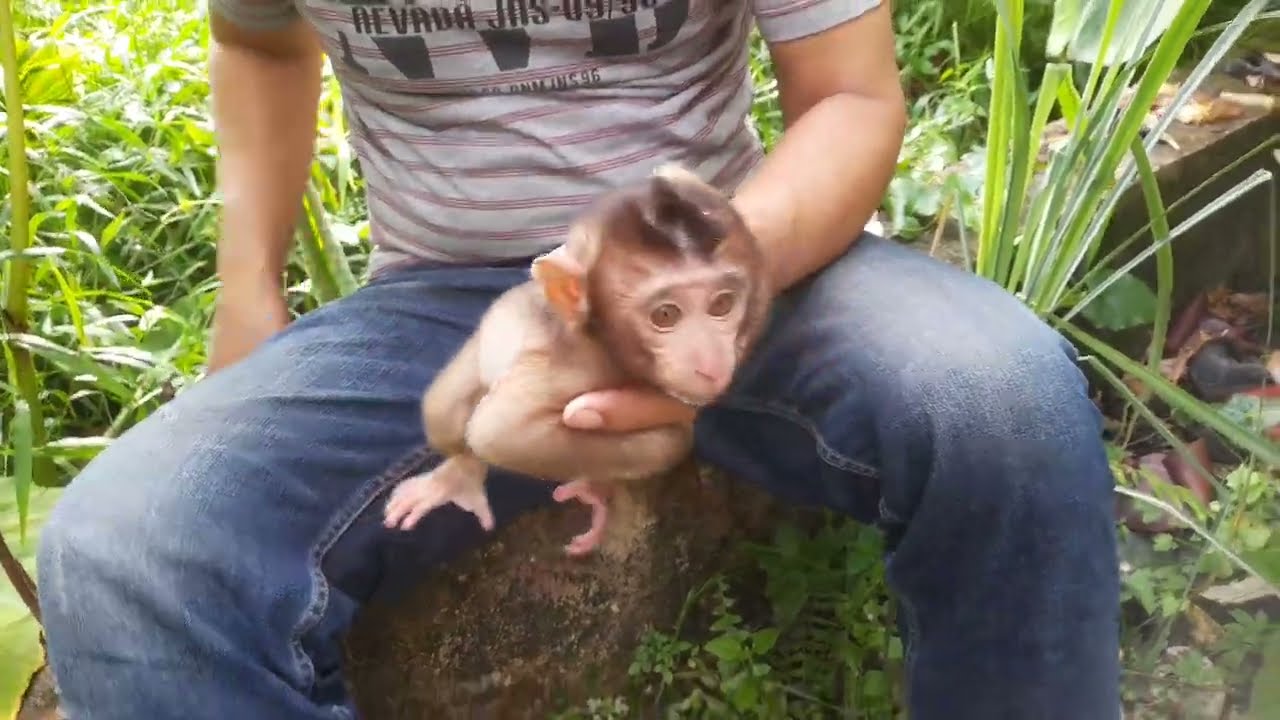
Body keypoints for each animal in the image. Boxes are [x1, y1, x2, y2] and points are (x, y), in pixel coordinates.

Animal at [382, 163, 773, 556]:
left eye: (722, 304)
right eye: (665, 315)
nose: (711, 364)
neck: (604, 342)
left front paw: (598, 486)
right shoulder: (574, 367)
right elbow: (500, 433)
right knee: (444, 409)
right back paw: (459, 475)